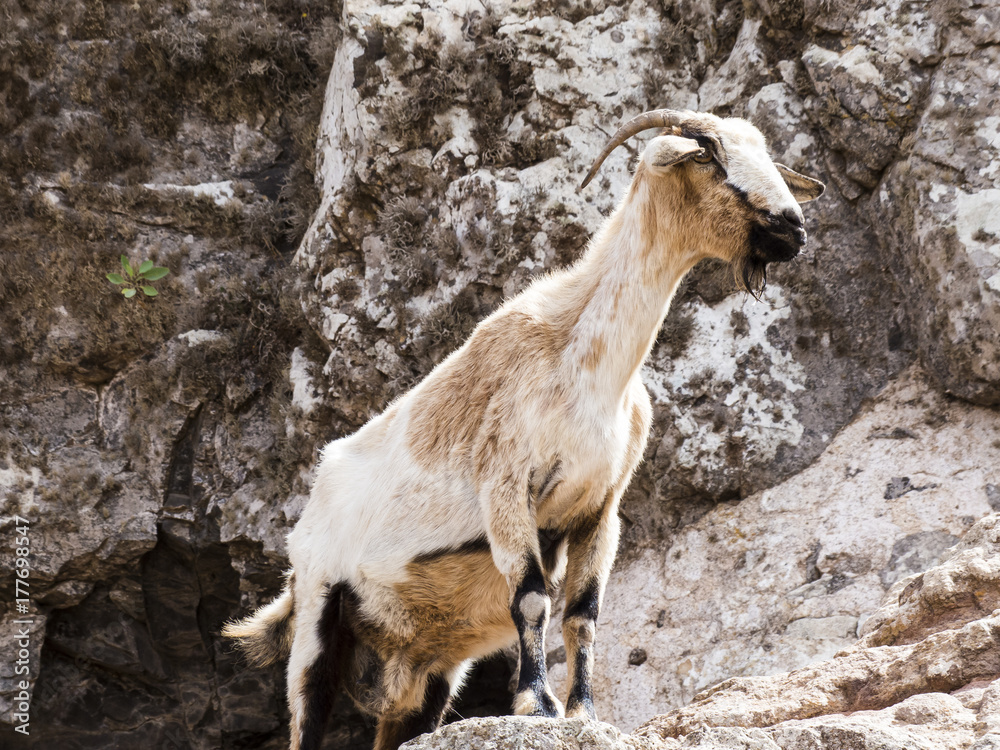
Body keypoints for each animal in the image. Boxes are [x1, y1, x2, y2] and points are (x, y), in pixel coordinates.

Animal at [224, 109, 825, 750]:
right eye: (710, 156)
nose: (793, 229)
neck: (586, 367)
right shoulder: (508, 485)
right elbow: (533, 598)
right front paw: (537, 705)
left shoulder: (600, 505)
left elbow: (583, 614)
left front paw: (583, 711)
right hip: (319, 609)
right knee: (309, 706)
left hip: (430, 669)